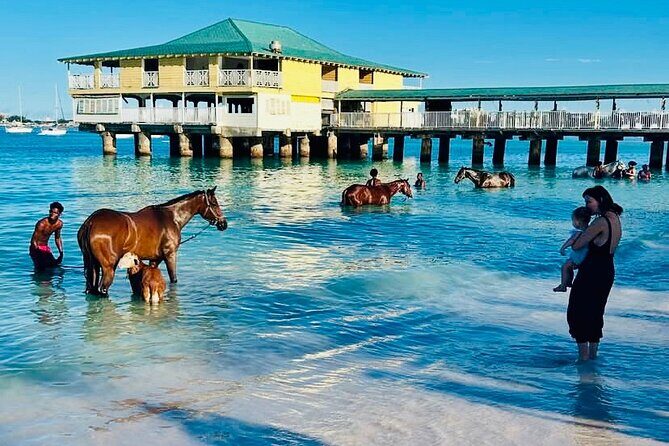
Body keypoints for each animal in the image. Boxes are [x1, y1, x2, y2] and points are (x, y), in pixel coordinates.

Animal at [77, 187, 227, 296]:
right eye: (214, 203)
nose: (223, 224)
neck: (171, 218)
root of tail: (91, 222)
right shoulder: (170, 255)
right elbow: (173, 279)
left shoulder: (155, 259)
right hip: (109, 267)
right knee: (102, 289)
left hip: (94, 265)